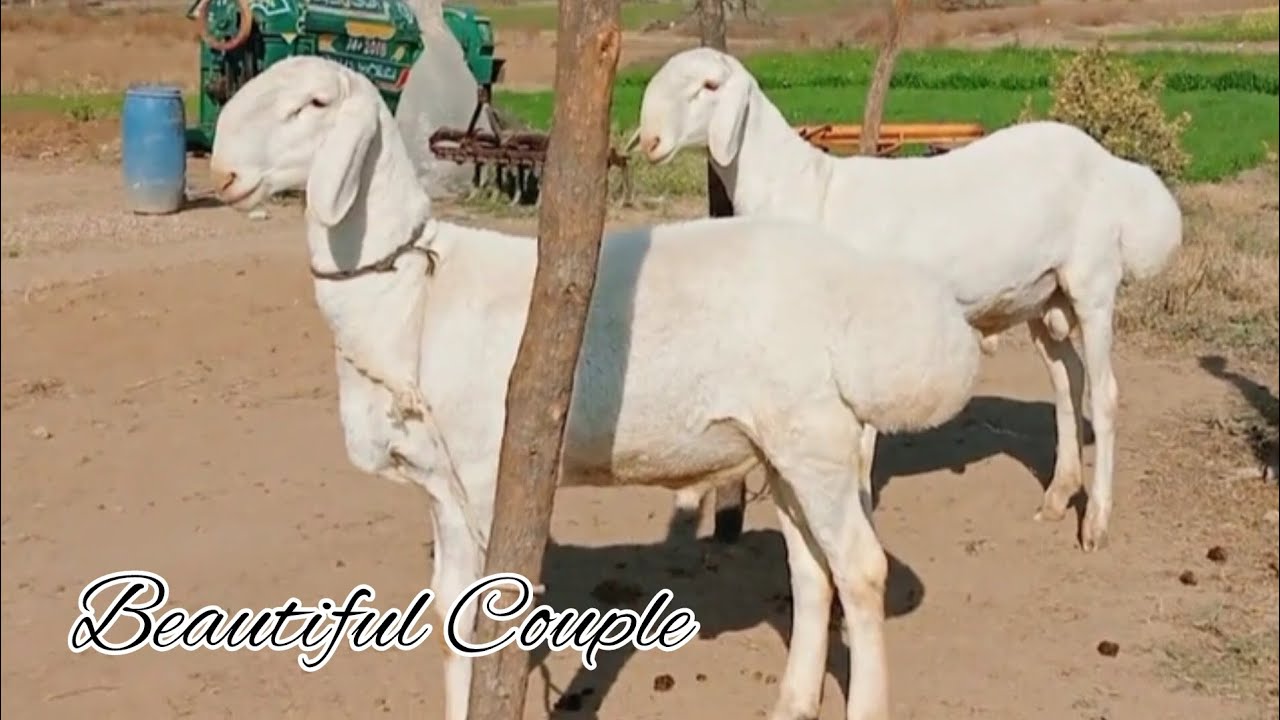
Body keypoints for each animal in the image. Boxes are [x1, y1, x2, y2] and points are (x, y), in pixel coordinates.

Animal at [209, 55, 983, 720]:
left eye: (314, 105)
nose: (220, 173)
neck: (415, 292)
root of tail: (849, 287)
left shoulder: (490, 473)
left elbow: (492, 618)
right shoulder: (441, 486)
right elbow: (452, 622)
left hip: (815, 439)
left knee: (860, 569)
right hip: (786, 446)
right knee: (811, 570)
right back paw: (792, 700)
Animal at [631, 47, 1185, 552]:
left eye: (709, 86)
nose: (651, 142)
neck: (812, 194)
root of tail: (1111, 164)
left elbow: (858, 455)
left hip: (1092, 281)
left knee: (1105, 394)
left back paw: (1096, 523)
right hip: (1041, 294)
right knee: (1067, 379)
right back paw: (1057, 496)